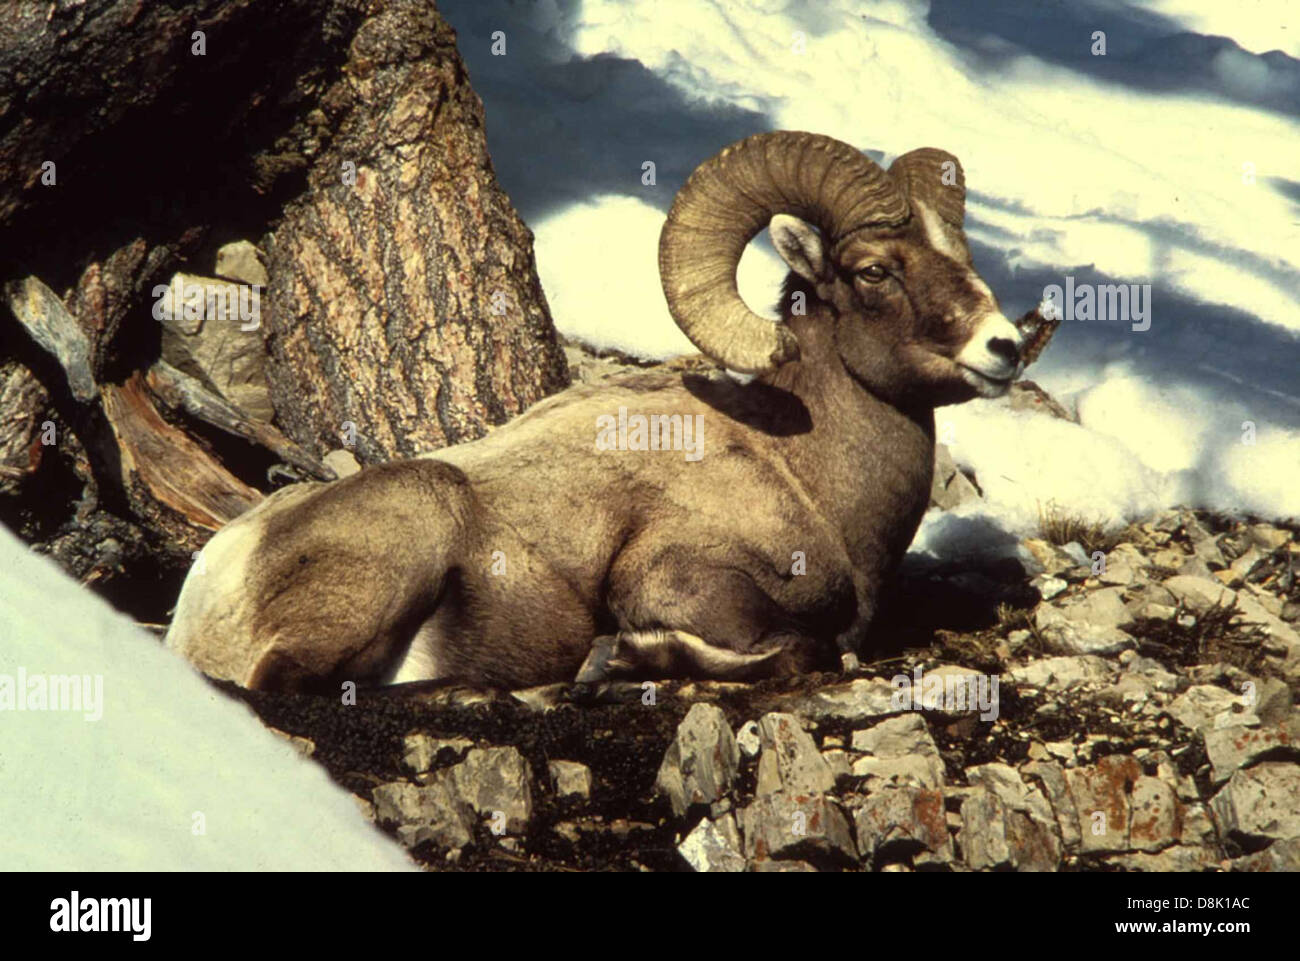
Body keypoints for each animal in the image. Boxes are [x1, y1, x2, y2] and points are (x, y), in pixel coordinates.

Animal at [165, 131, 1025, 692]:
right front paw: (621, 658)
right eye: (875, 270)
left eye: (964, 258)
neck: (810, 479)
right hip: (416, 512)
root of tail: (212, 588)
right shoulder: (676, 581)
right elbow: (801, 649)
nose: (1005, 346)